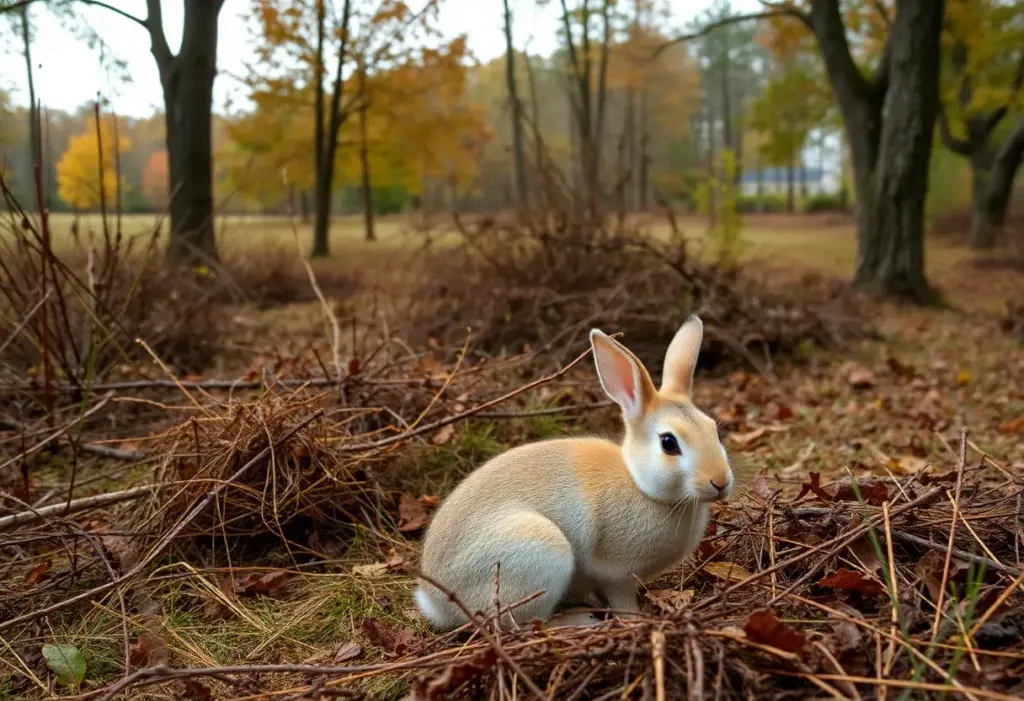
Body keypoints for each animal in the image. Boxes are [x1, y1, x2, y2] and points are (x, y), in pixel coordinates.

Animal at [414, 315, 733, 631]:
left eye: (714, 429)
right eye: (668, 443)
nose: (720, 482)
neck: (639, 484)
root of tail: (436, 603)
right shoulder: (618, 576)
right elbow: (622, 601)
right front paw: (637, 619)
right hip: (540, 553)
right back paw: (580, 620)